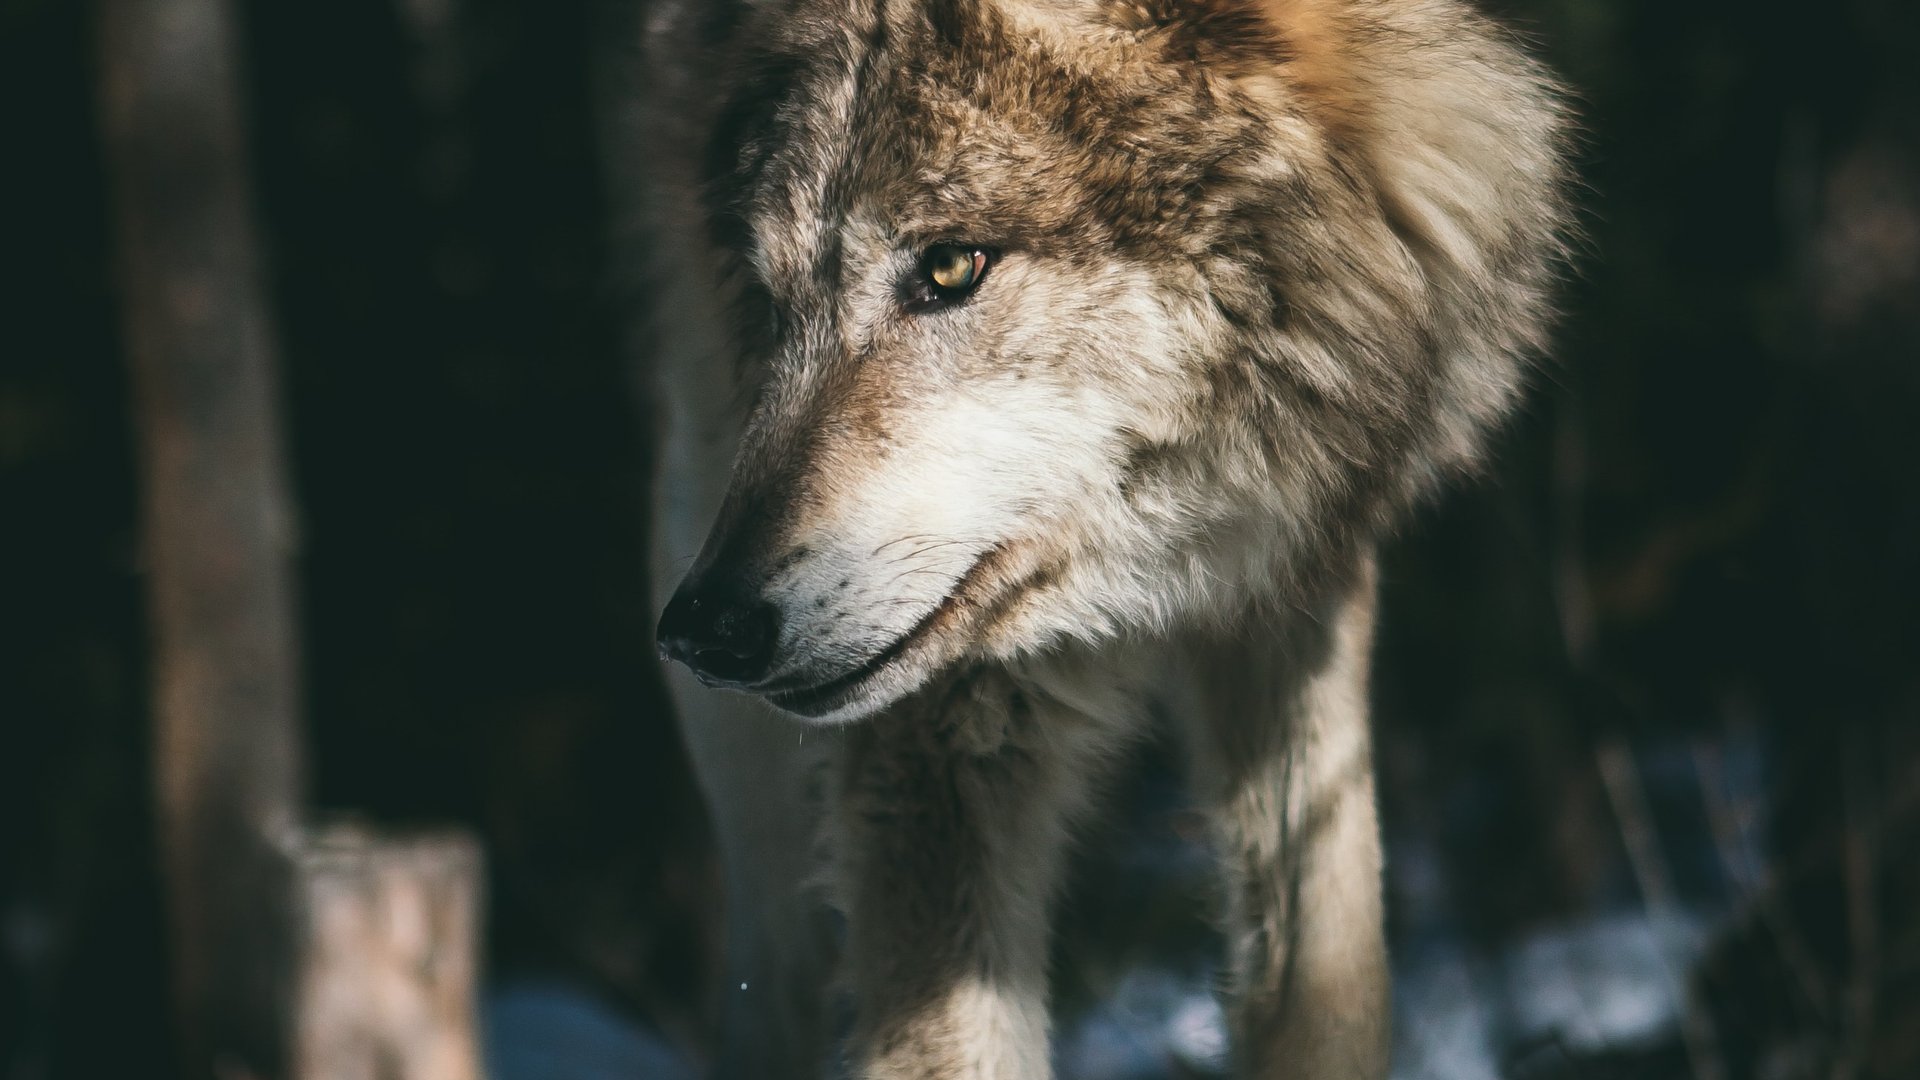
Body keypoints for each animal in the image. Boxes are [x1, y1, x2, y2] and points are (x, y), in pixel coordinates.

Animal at [622, 0, 1571, 1075]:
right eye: (771, 303)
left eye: (950, 265)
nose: (704, 632)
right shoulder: (939, 734)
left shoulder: (1297, 586)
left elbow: (1324, 986)